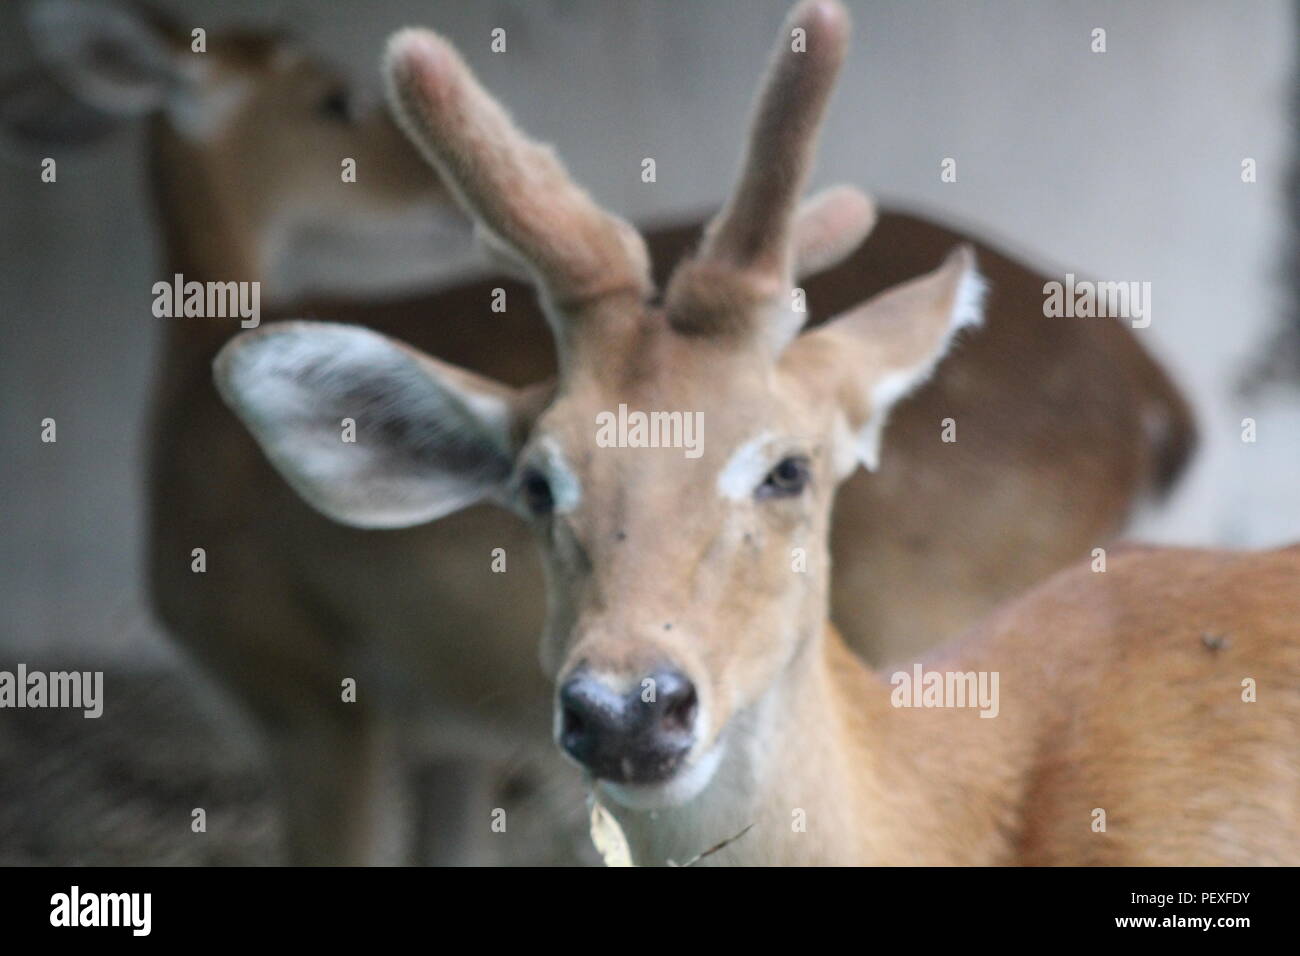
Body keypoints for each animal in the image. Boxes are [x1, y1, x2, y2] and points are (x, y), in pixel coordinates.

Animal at [9, 0, 1197, 864]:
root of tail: (1158, 395)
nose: (626, 709)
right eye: (535, 483)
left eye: (788, 468)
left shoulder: (304, 684)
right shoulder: (441, 733)